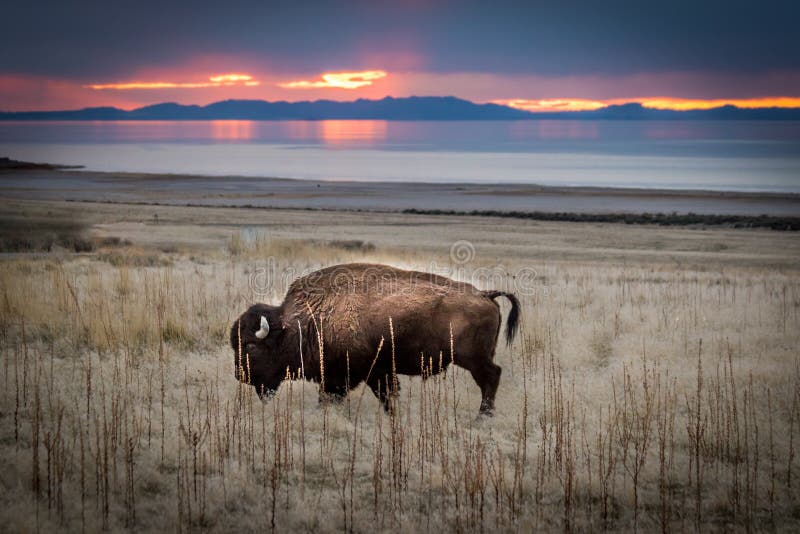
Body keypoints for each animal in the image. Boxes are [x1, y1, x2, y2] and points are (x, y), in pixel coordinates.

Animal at [230, 263, 519, 415]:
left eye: (251, 345)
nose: (240, 375)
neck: (306, 320)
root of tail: (484, 294)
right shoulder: (368, 373)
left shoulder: (364, 372)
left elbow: (378, 395)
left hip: (473, 359)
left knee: (491, 377)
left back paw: (483, 417)